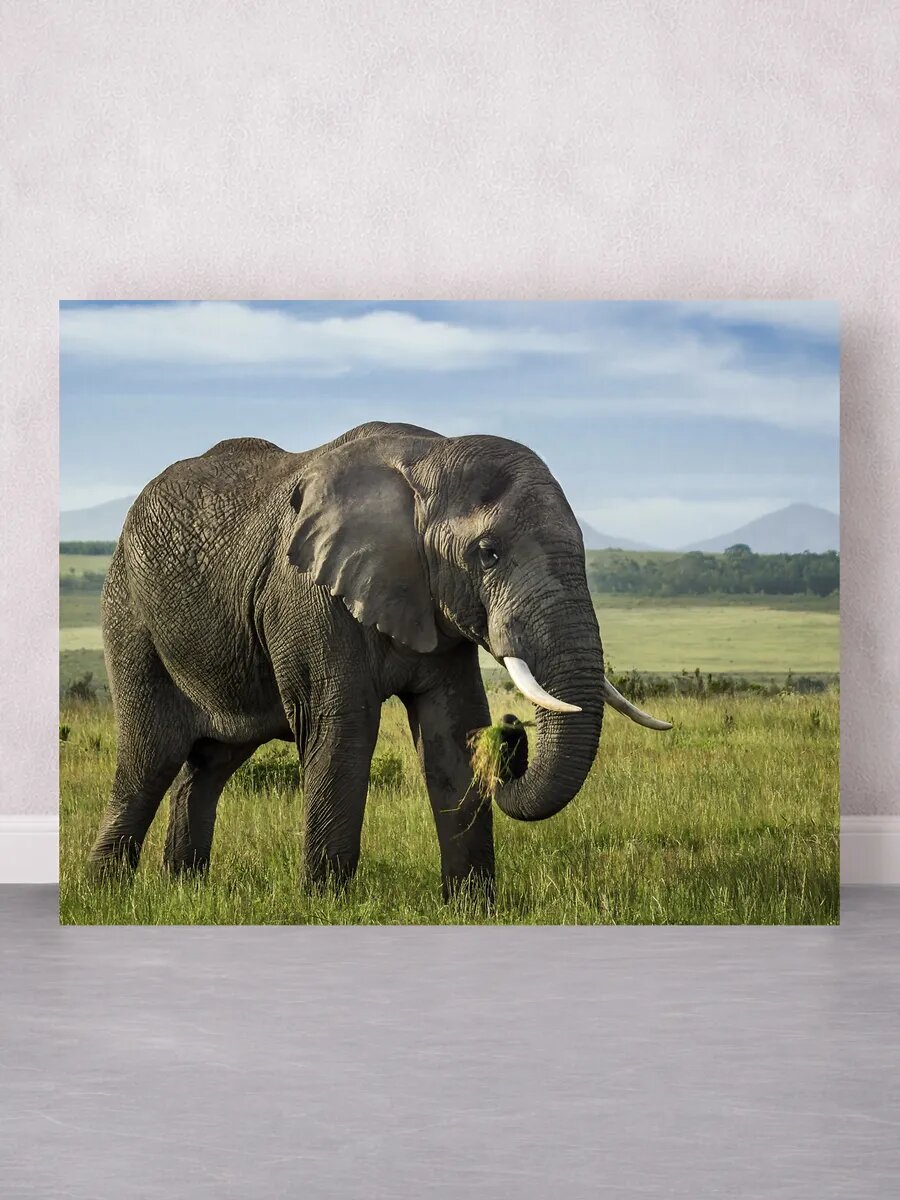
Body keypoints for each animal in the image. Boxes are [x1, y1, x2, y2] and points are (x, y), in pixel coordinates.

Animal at [89, 420, 670, 901]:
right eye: (488, 553)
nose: (512, 733)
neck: (426, 458)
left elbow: (452, 726)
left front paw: (472, 907)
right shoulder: (309, 597)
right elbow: (343, 727)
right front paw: (324, 906)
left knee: (209, 764)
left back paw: (183, 889)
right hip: (130, 617)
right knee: (151, 758)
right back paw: (107, 892)